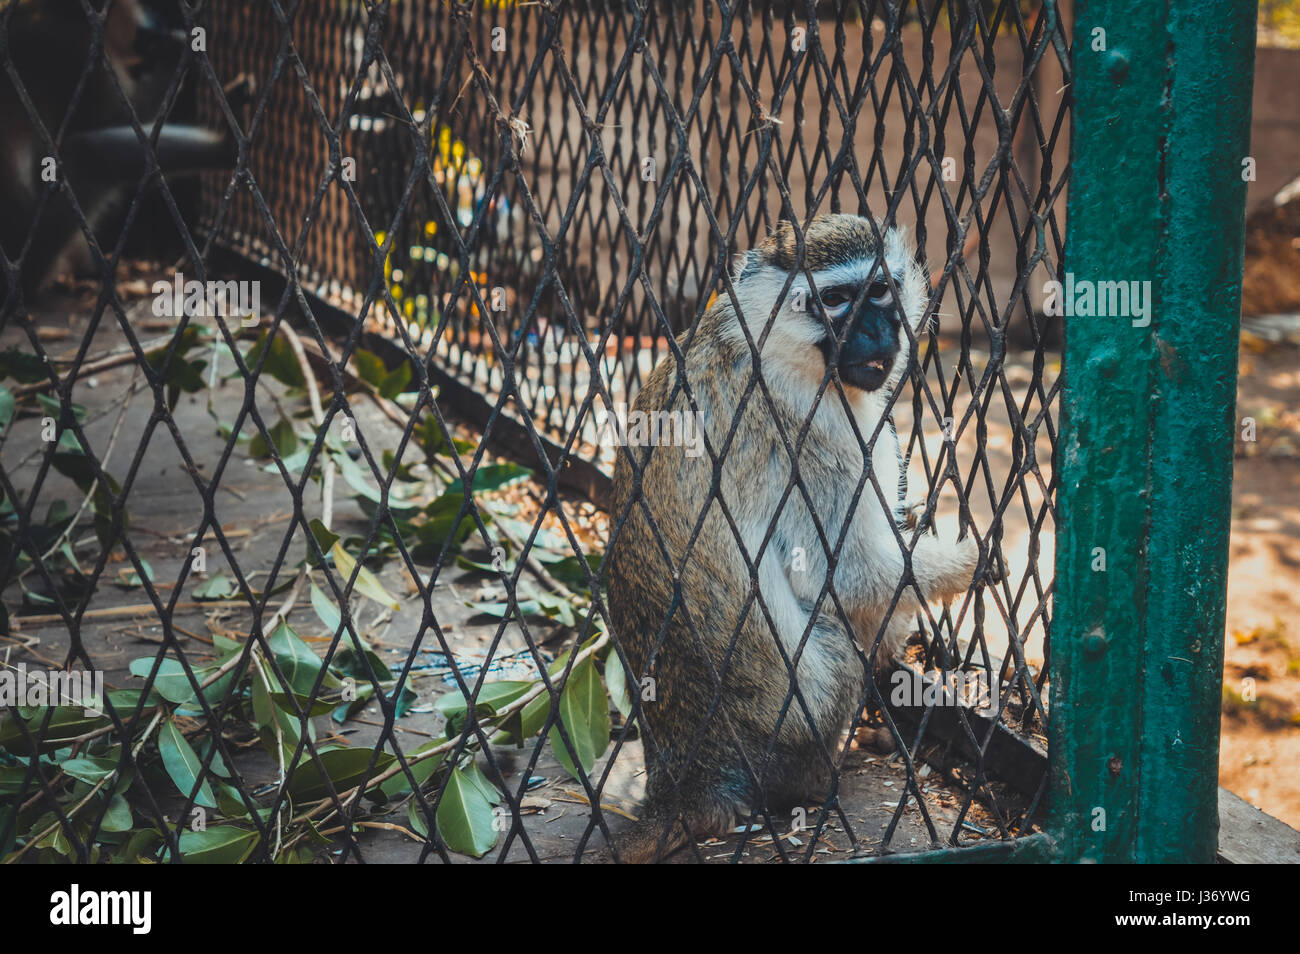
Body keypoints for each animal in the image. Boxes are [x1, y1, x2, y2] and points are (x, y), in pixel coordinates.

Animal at [604, 213, 983, 863]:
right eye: (834, 301)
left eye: (879, 290)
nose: (876, 332)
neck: (769, 347)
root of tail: (684, 776)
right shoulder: (811, 438)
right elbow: (853, 571)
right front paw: (970, 559)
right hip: (799, 716)